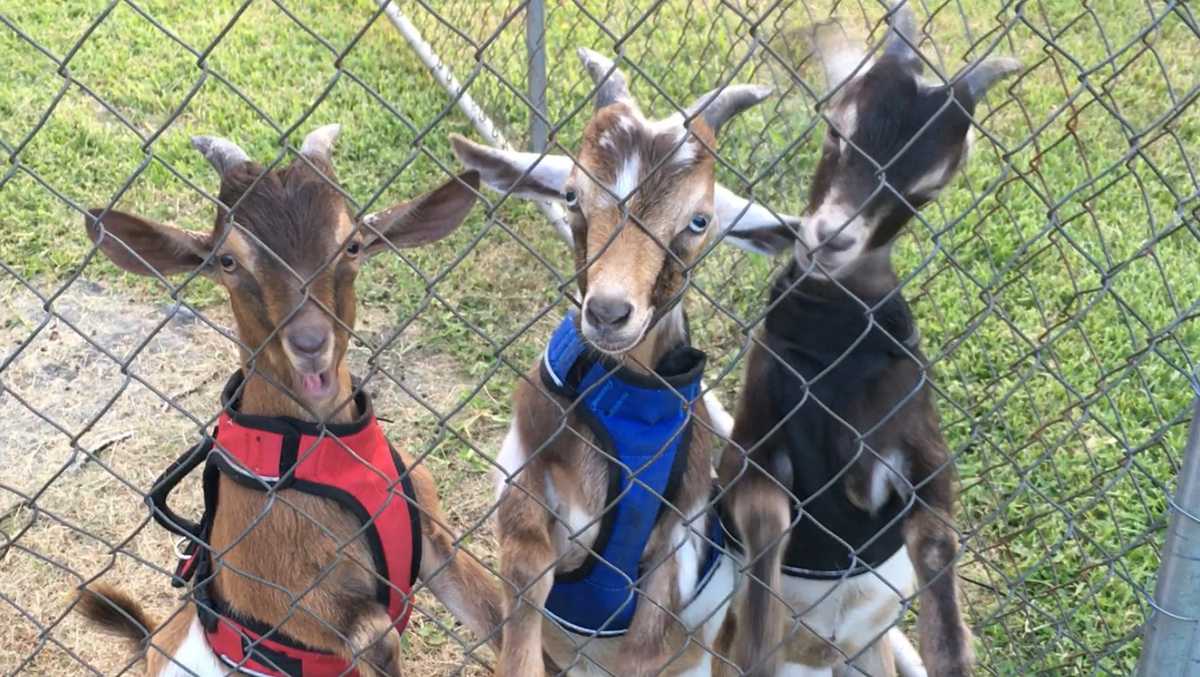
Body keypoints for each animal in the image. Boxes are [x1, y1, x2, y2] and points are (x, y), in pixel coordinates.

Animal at [74, 125, 502, 676]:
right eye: (228, 261)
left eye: (352, 245)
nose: (310, 343)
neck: (326, 446)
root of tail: (150, 641)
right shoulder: (287, 595)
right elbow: (378, 636)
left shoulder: (430, 537)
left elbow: (500, 614)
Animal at [450, 49, 793, 676]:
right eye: (571, 196)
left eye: (699, 219)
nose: (609, 312)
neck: (629, 402)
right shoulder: (523, 471)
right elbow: (526, 574)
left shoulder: (680, 539)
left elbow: (648, 641)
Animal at [715, 4, 1020, 676]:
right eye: (836, 129)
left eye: (927, 187)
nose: (832, 238)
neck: (832, 354)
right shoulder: (756, 435)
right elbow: (766, 522)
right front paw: (759, 647)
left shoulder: (919, 443)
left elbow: (936, 538)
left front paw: (952, 656)